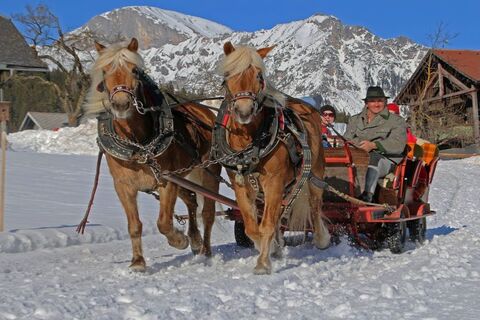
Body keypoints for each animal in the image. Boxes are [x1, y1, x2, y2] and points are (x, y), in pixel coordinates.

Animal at [84, 38, 221, 272]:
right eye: (105, 71)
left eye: (135, 70)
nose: (121, 104)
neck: (137, 143)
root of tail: (206, 114)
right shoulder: (124, 186)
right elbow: (134, 225)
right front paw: (138, 262)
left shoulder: (167, 182)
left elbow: (163, 222)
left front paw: (179, 240)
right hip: (185, 176)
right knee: (192, 202)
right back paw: (195, 240)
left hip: (207, 173)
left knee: (208, 214)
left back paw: (205, 251)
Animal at [215, 41, 330, 274]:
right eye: (228, 75)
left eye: (259, 75)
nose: (243, 111)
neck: (250, 142)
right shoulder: (241, 185)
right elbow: (252, 227)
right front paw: (271, 248)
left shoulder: (274, 181)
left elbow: (266, 224)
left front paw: (263, 263)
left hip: (314, 173)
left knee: (314, 205)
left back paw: (322, 239)